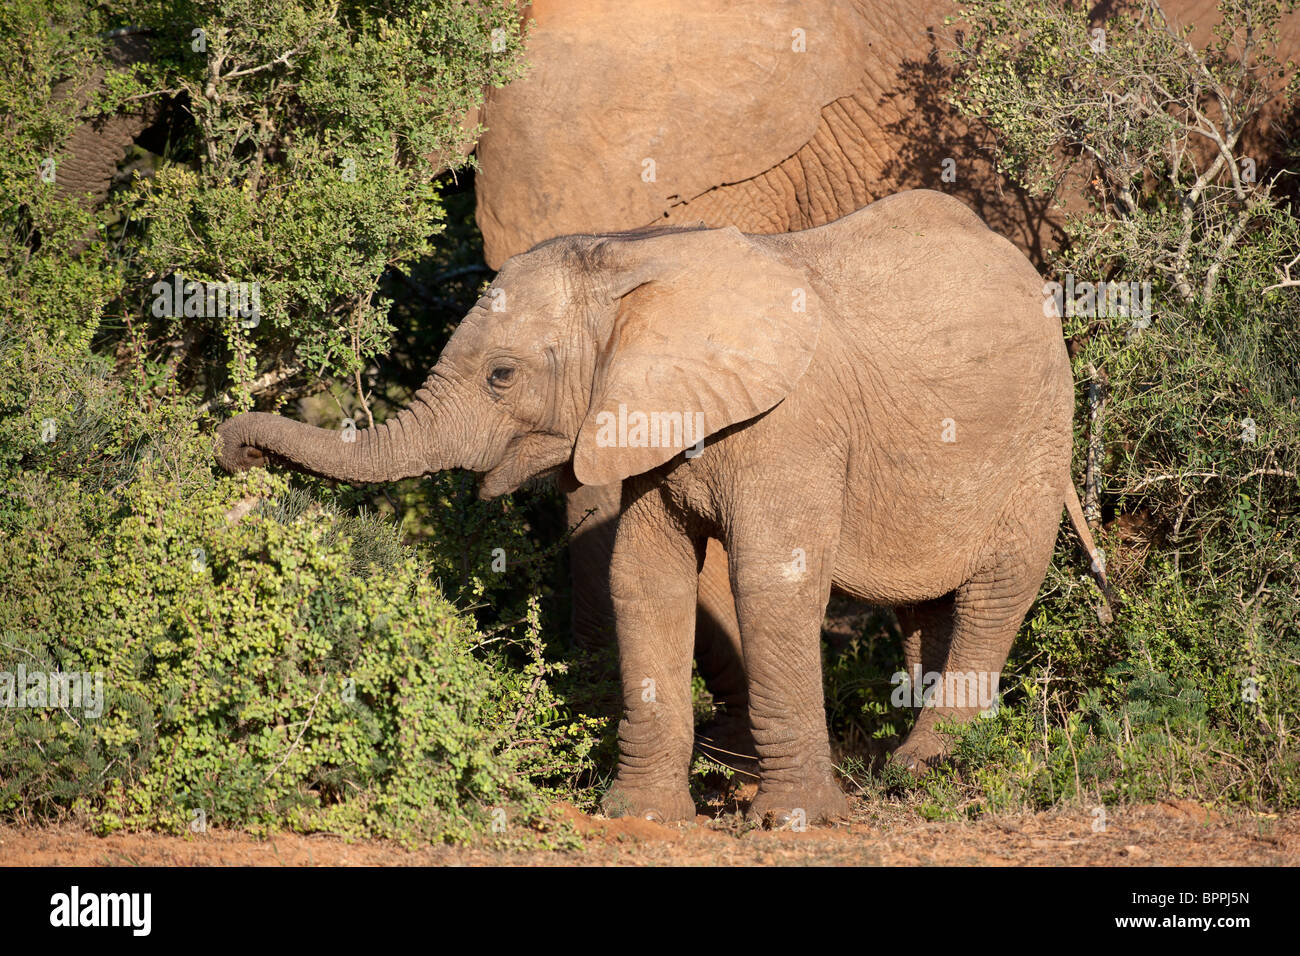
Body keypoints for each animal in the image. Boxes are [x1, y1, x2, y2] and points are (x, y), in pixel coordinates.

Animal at [217, 189, 1107, 824]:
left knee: (996, 590)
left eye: (502, 376)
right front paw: (638, 815)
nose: (236, 456)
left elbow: (772, 582)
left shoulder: (791, 425)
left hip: (1039, 432)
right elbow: (643, 577)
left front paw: (792, 820)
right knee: (927, 606)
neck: (639, 263)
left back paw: (924, 771)